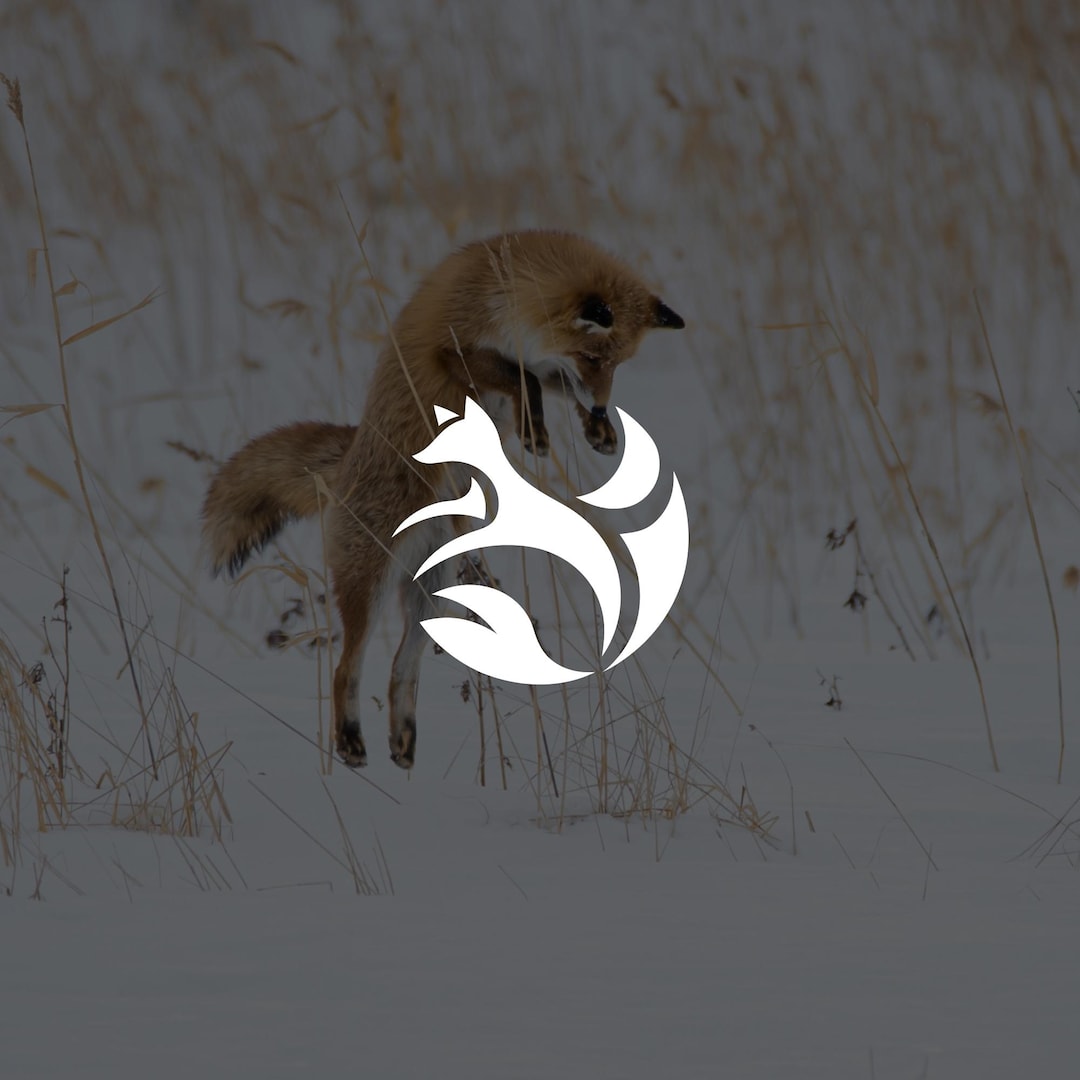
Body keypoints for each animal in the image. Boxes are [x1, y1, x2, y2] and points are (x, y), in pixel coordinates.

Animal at [201, 229, 684, 770]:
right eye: (595, 358)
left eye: (617, 364)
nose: (603, 407)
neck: (506, 290)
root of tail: (346, 460)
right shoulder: (454, 349)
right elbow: (526, 380)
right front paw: (535, 431)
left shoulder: (539, 360)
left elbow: (550, 383)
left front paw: (597, 429)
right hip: (370, 586)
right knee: (347, 667)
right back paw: (350, 742)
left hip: (432, 597)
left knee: (400, 668)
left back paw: (403, 744)